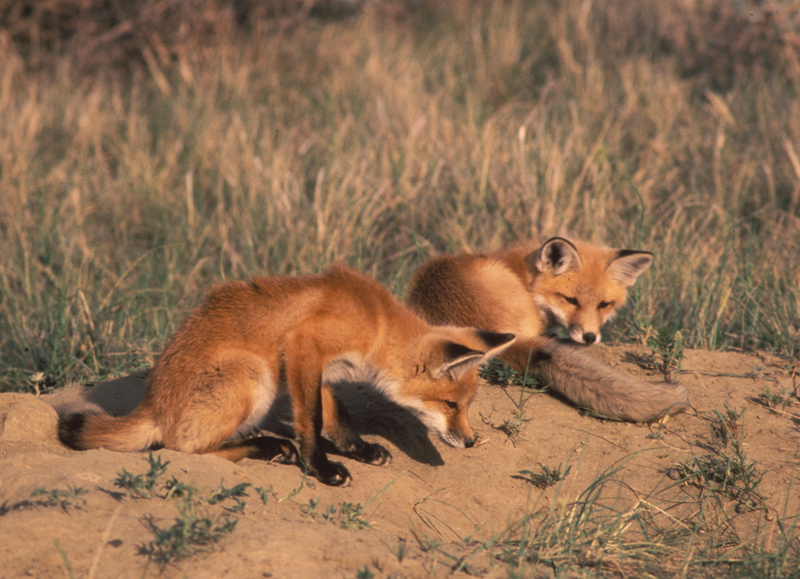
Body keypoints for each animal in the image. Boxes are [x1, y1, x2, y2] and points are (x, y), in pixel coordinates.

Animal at [58, 265, 515, 486]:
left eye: (467, 407)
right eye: (451, 405)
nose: (470, 441)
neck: (376, 323)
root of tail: (151, 405)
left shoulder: (319, 366)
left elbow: (337, 413)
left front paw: (357, 449)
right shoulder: (302, 346)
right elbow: (310, 420)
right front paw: (323, 470)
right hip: (253, 376)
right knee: (180, 448)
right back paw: (269, 446)